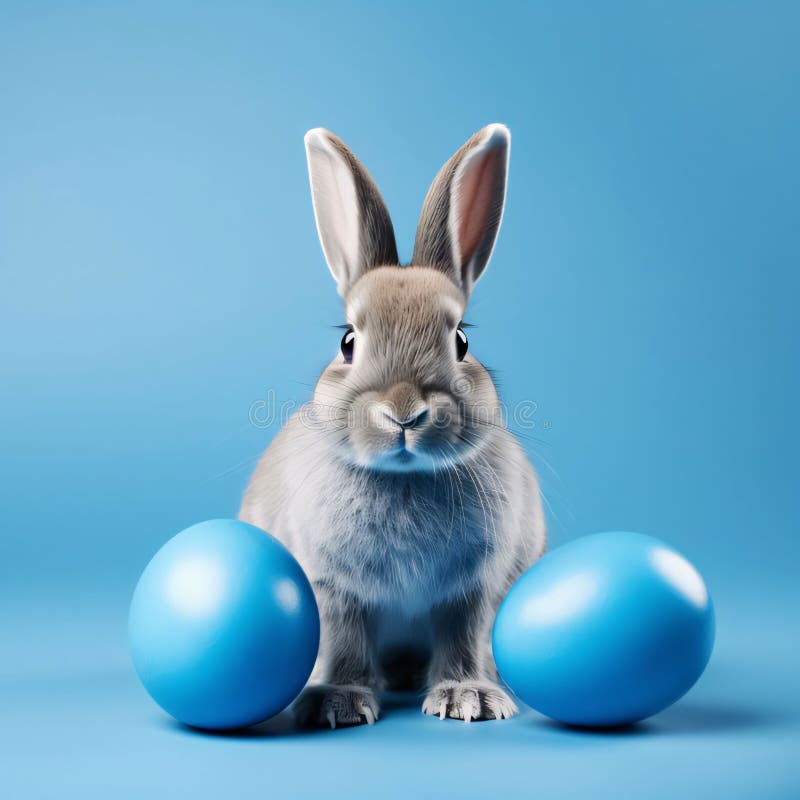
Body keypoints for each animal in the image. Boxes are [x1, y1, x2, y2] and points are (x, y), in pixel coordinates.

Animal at [239, 123, 546, 727]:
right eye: (348, 342)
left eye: (462, 341)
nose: (404, 412)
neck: (404, 478)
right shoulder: (334, 590)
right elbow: (346, 646)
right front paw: (337, 703)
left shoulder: (471, 592)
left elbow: (463, 641)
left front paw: (468, 699)